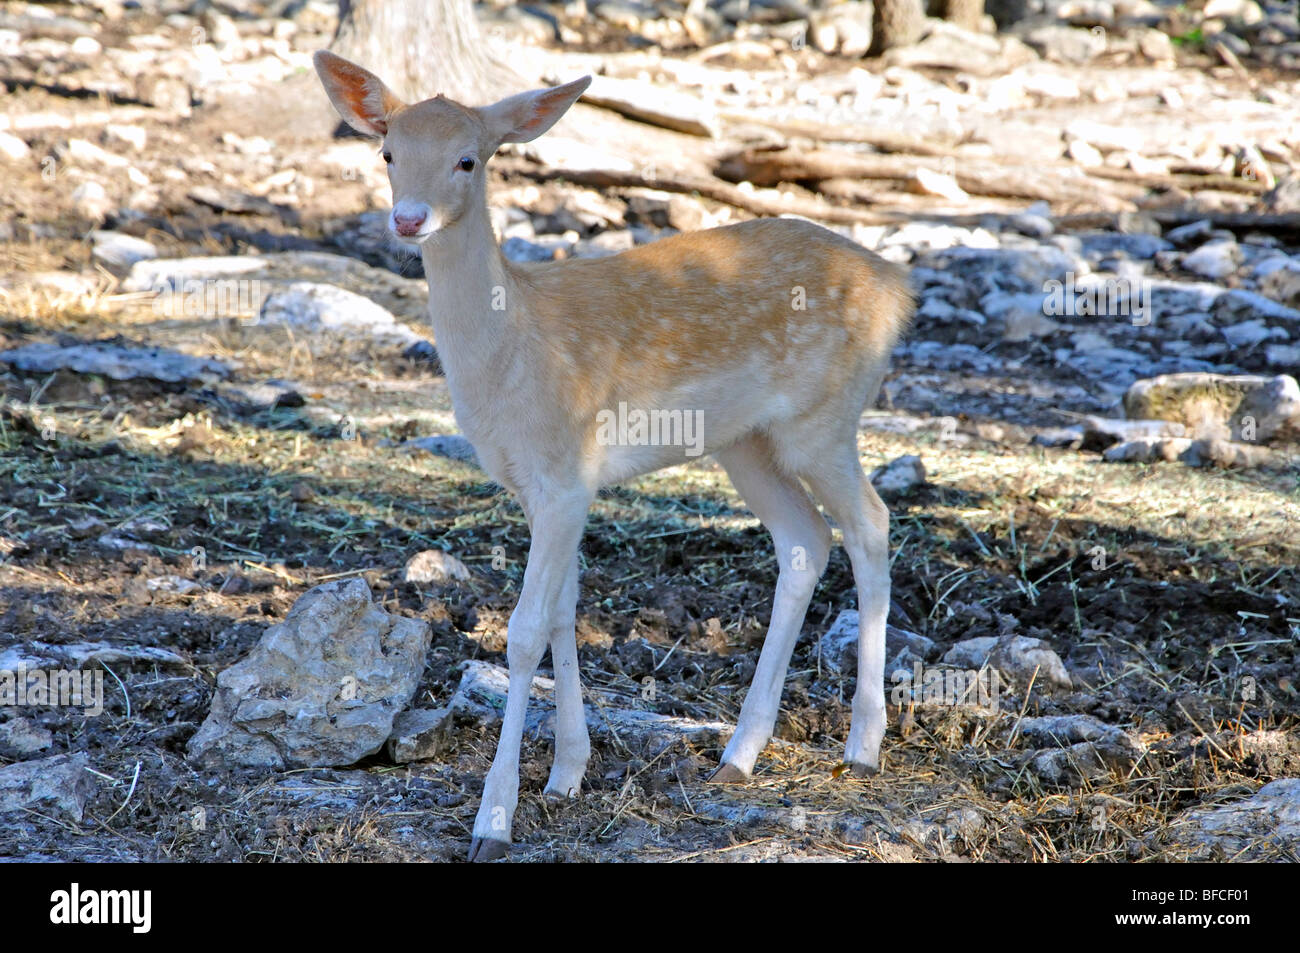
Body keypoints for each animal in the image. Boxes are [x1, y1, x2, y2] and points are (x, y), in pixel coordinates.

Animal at [313, 51, 914, 862]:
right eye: (386, 153)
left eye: (469, 158)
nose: (409, 218)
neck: (511, 354)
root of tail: (901, 289)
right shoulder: (539, 486)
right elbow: (563, 612)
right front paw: (566, 773)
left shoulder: (567, 472)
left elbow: (524, 631)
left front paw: (493, 820)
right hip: (747, 443)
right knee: (805, 540)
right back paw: (738, 754)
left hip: (824, 419)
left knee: (872, 524)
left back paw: (863, 744)